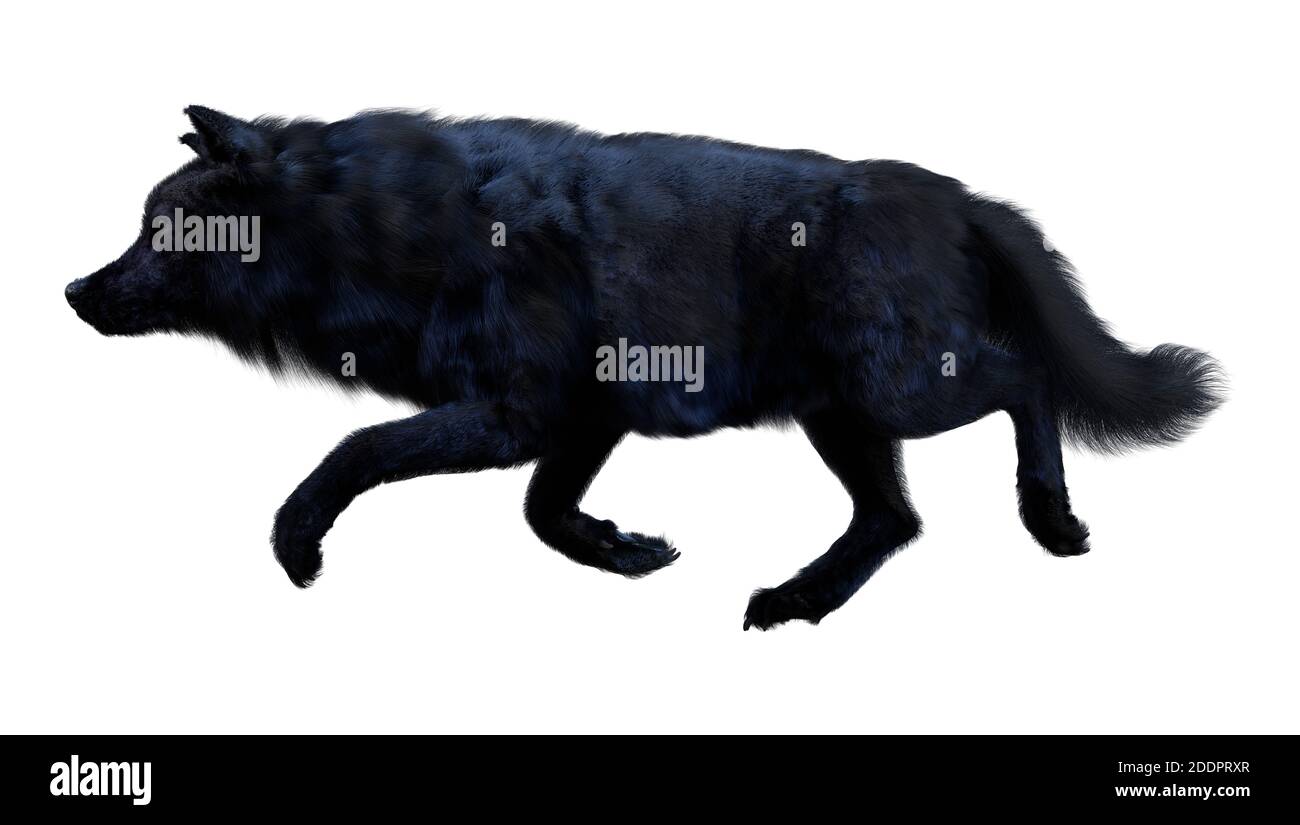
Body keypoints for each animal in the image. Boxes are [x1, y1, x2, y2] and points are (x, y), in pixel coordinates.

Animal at [65, 107, 1223, 629]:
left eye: (163, 231)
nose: (74, 292)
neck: (393, 229)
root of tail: (964, 196)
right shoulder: (578, 422)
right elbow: (541, 515)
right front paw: (626, 553)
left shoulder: (512, 417)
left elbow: (354, 449)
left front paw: (297, 544)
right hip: (846, 416)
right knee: (894, 519)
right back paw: (795, 600)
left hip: (899, 390)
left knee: (1026, 384)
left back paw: (1051, 519)